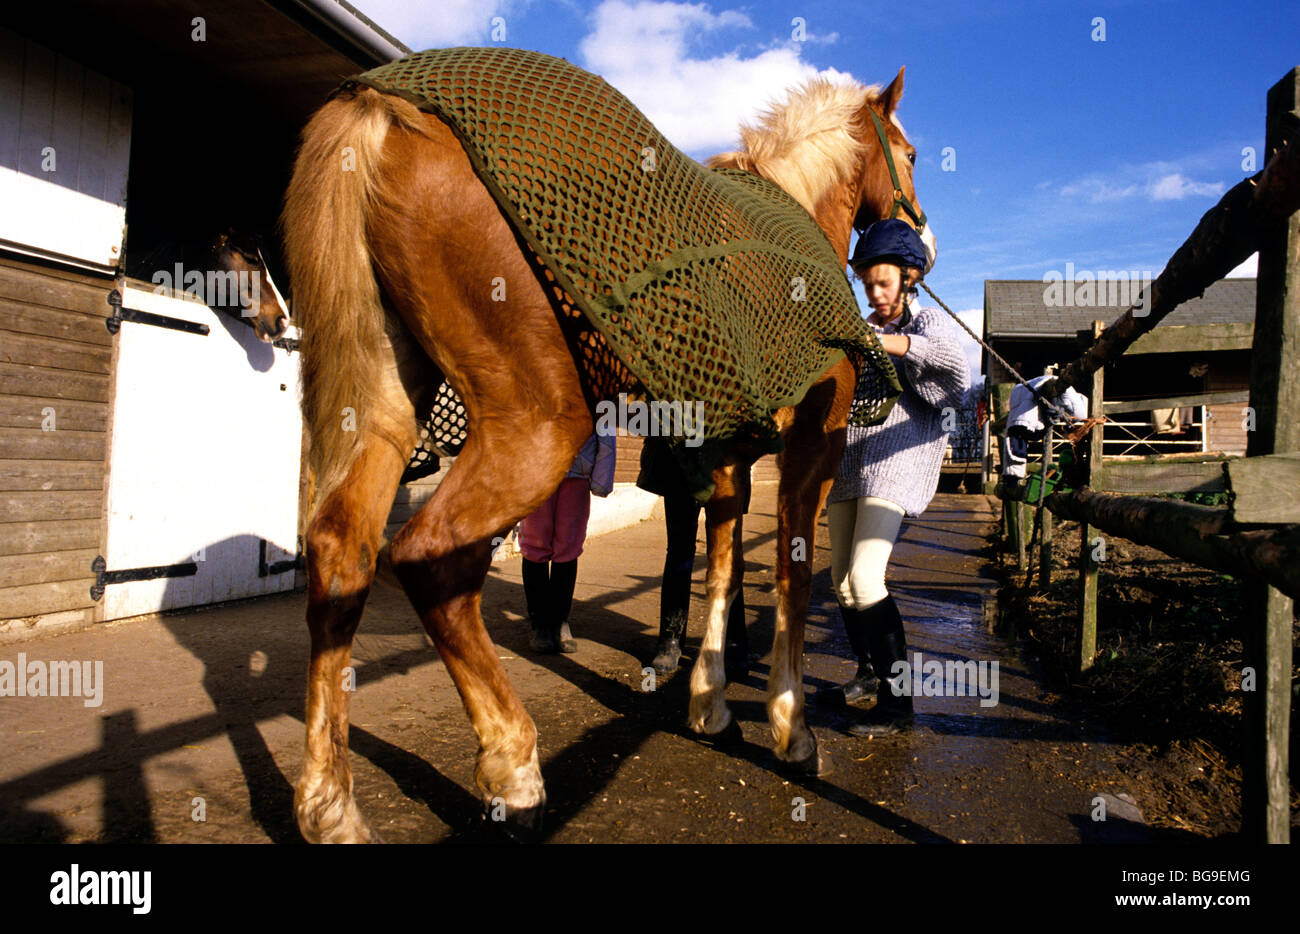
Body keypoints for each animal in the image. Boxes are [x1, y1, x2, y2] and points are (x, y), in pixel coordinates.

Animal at [276, 56, 933, 843]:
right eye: (912, 153)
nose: (923, 245)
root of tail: (382, 107)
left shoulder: (726, 452)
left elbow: (720, 564)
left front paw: (710, 703)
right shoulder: (813, 441)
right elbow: (792, 575)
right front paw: (790, 728)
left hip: (382, 400)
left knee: (340, 553)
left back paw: (330, 804)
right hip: (537, 426)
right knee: (432, 560)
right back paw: (514, 768)